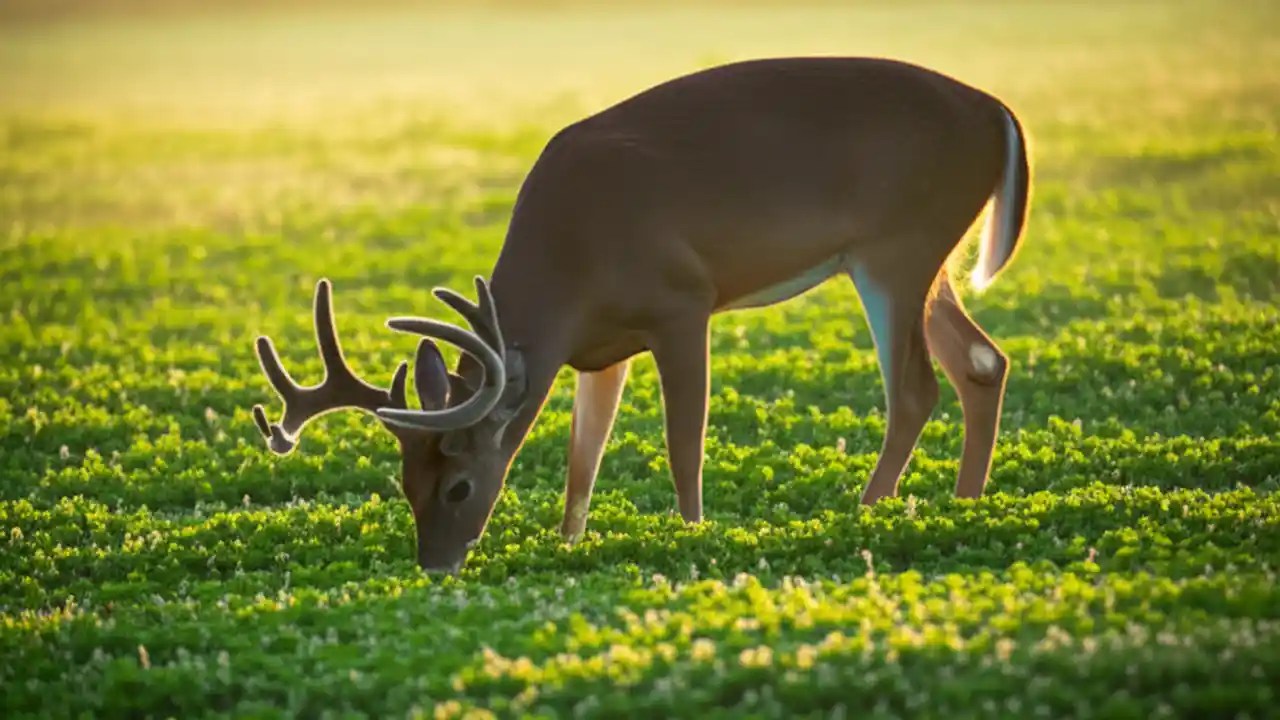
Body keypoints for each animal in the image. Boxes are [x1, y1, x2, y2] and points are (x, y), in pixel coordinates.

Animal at [250, 57, 1030, 573]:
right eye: (404, 484)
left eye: (459, 485)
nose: (434, 566)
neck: (571, 259)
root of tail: (1000, 112)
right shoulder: (599, 348)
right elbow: (582, 454)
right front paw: (568, 543)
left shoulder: (682, 301)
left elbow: (683, 437)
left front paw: (692, 531)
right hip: (925, 255)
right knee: (982, 362)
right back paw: (966, 503)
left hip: (898, 247)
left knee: (916, 388)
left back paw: (865, 509)